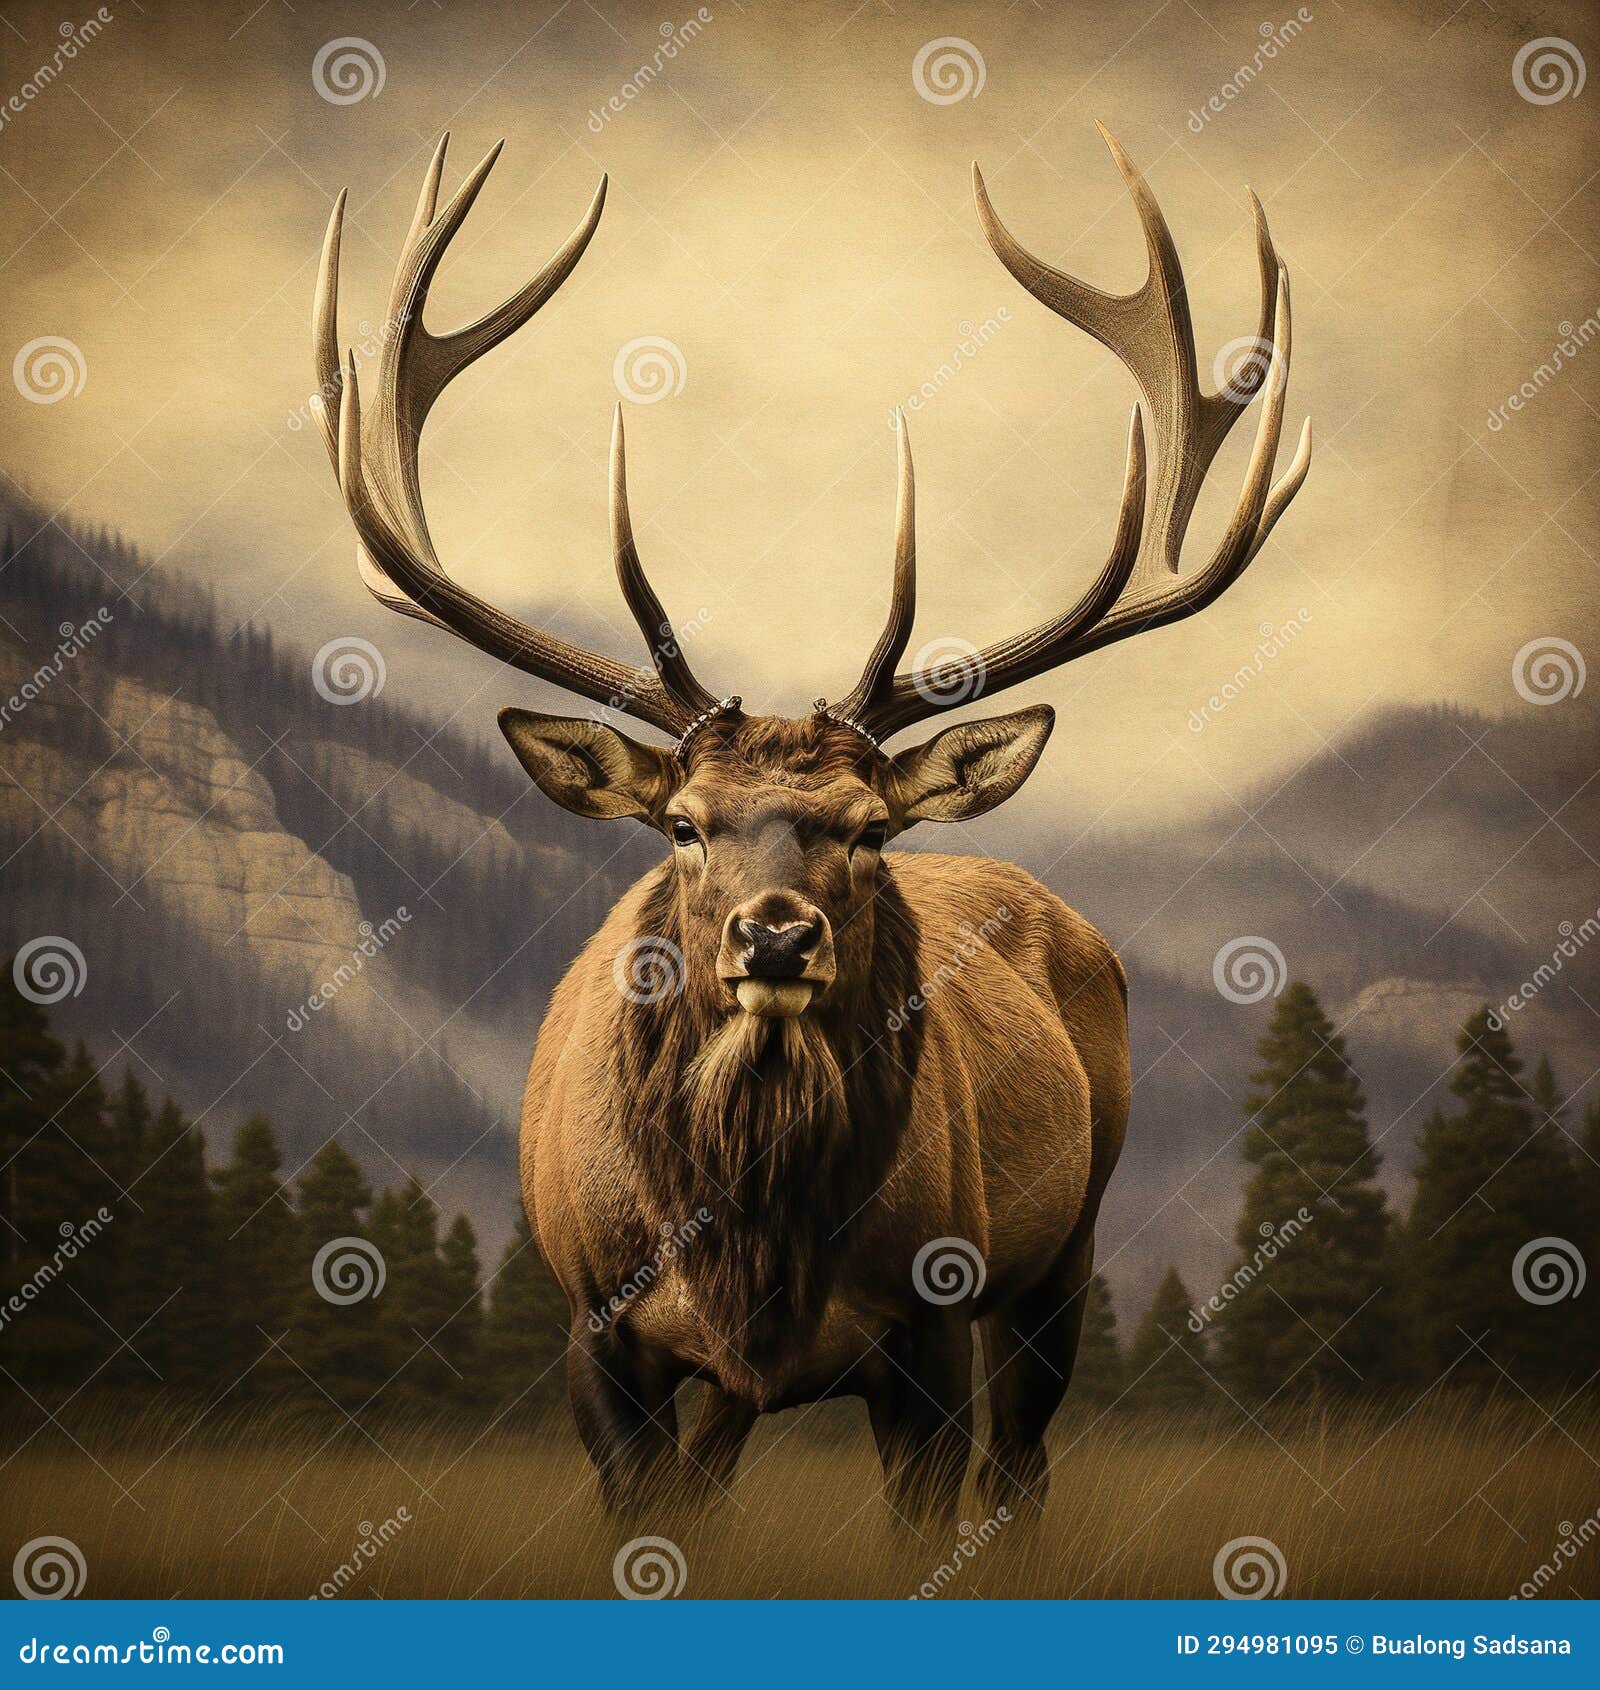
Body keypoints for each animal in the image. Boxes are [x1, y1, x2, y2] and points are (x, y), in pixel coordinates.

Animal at [310, 124, 1310, 1522]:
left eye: (867, 827)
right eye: (681, 823)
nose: (775, 939)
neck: (752, 1243)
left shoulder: (931, 1320)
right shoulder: (592, 1326)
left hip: (1066, 1246)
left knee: (1022, 1470)